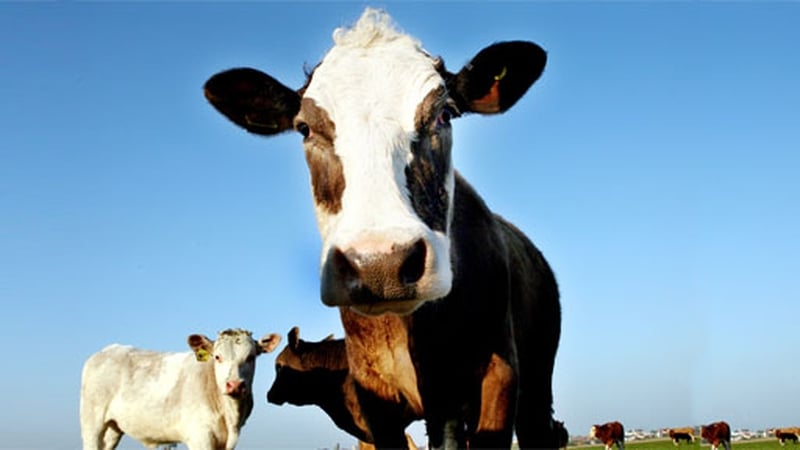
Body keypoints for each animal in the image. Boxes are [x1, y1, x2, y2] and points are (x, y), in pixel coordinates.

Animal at [80, 329, 281, 450]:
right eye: (217, 357)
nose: (235, 385)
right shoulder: (200, 437)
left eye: (251, 357)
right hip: (92, 423)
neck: (229, 417)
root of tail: (104, 352)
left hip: (113, 428)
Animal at [204, 8, 562, 449]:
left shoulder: (498, 374)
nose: (380, 264)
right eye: (305, 128)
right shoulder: (375, 396)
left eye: (445, 113)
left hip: (537, 378)